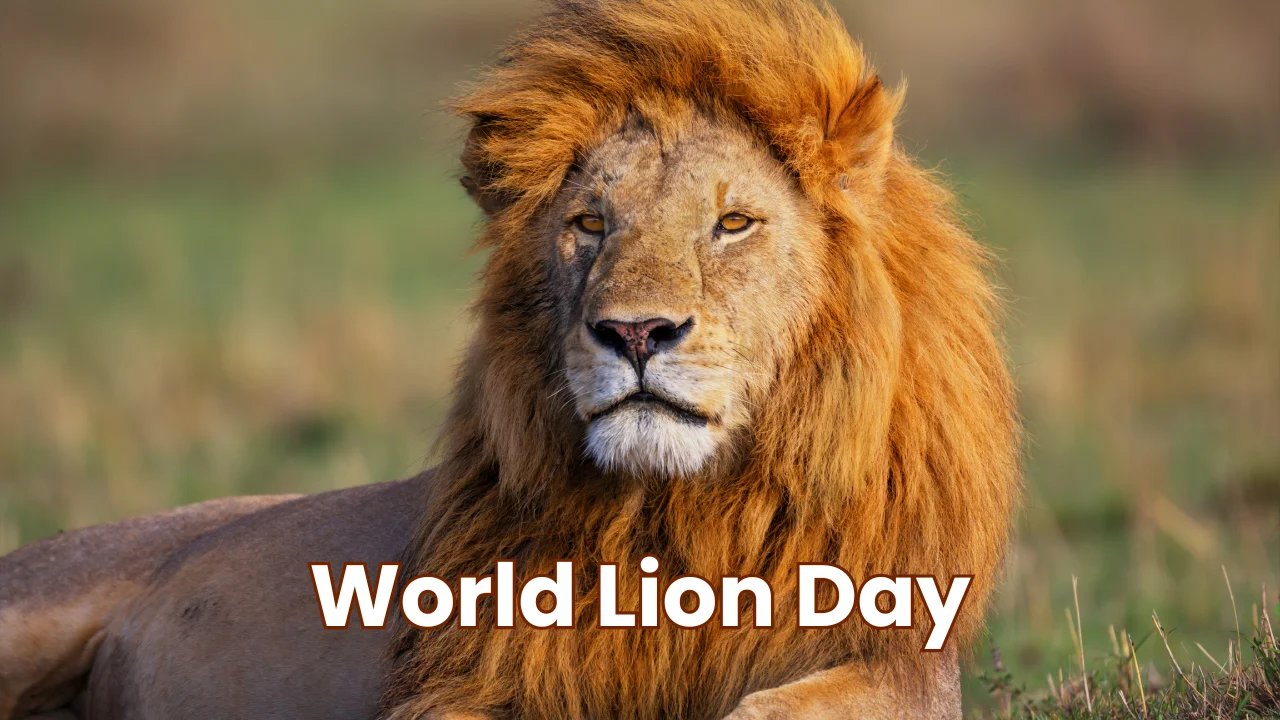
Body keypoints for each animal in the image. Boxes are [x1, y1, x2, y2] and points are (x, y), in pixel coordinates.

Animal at [0, 0, 1020, 718]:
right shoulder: (473, 677)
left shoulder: (895, 653)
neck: (676, 519)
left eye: (733, 223)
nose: (635, 334)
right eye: (590, 224)